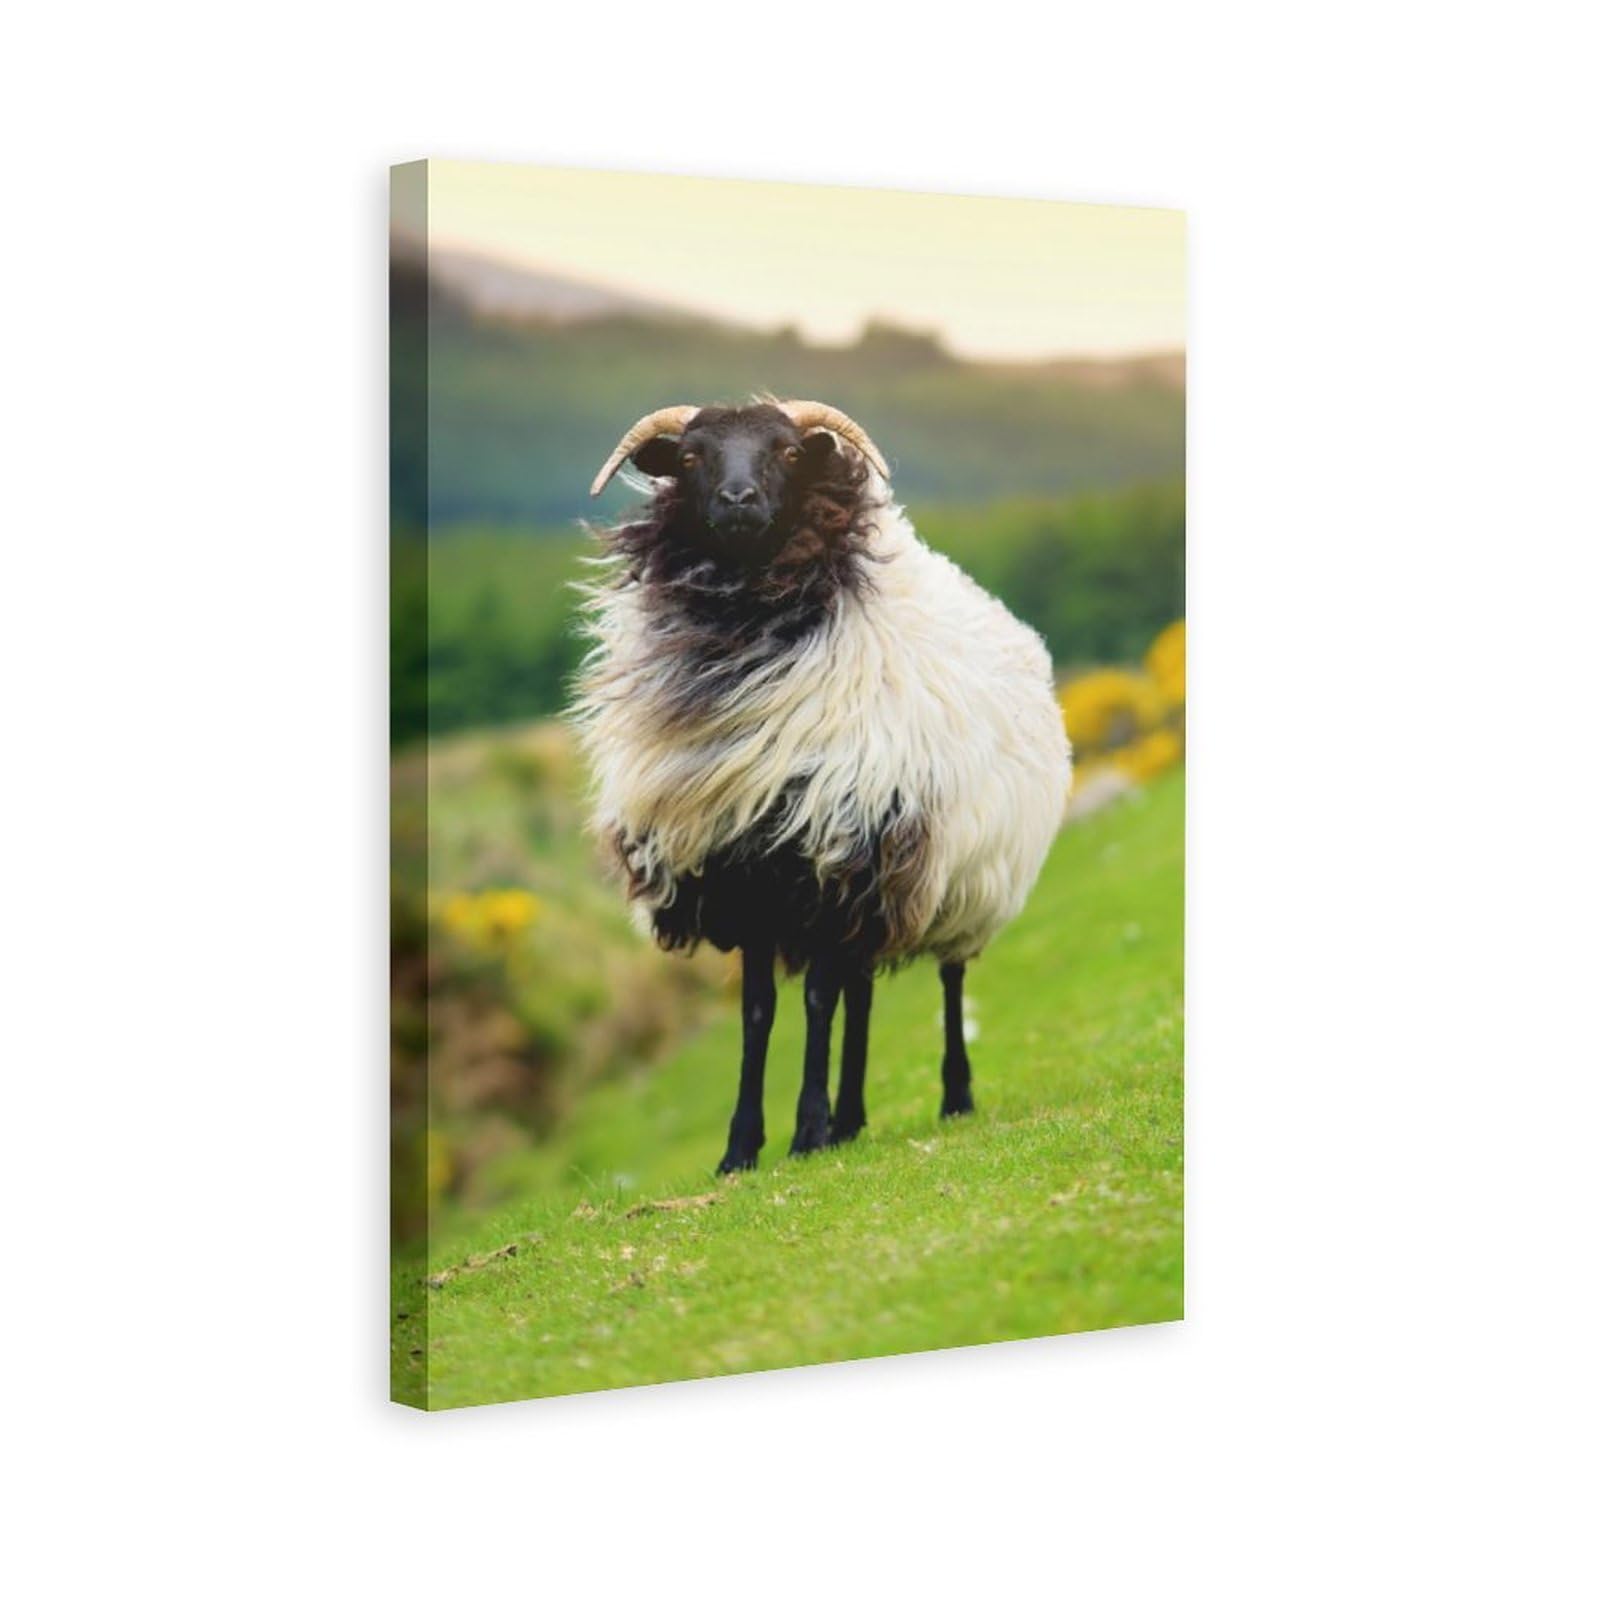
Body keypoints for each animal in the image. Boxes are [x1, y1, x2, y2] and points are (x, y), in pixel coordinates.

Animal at [573, 400, 1072, 1173]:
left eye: (785, 451)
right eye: (689, 458)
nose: (738, 499)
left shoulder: (831, 862)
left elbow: (814, 1001)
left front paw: (807, 1132)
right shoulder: (747, 876)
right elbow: (760, 1012)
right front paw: (743, 1148)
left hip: (964, 876)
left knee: (948, 980)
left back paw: (953, 1096)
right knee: (861, 995)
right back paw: (854, 1117)